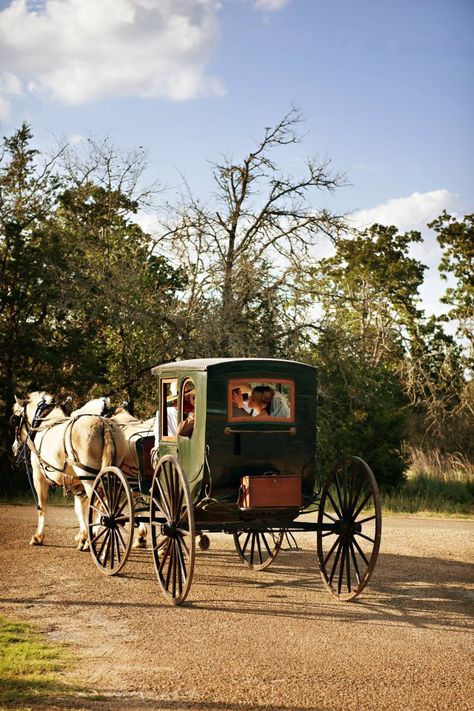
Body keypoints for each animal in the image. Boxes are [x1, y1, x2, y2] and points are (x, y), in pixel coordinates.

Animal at [12, 394, 127, 552]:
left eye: (15, 418)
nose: (14, 447)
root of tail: (104, 424)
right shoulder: (77, 484)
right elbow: (79, 509)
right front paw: (83, 535)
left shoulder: (38, 477)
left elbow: (42, 507)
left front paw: (38, 537)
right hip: (109, 476)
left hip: (90, 479)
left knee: (97, 505)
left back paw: (91, 540)